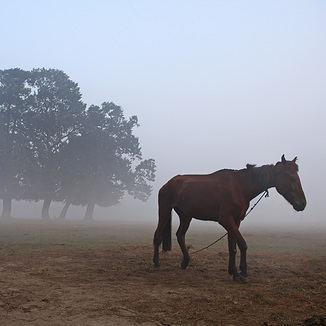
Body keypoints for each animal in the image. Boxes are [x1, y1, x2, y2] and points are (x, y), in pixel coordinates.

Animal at [152, 154, 306, 282]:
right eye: (291, 177)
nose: (302, 204)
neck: (239, 187)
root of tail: (167, 183)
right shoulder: (226, 220)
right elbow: (242, 244)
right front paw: (241, 272)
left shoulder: (236, 221)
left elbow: (233, 247)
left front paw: (234, 272)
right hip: (165, 211)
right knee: (158, 235)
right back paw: (156, 262)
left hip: (185, 216)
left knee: (180, 235)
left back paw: (185, 261)